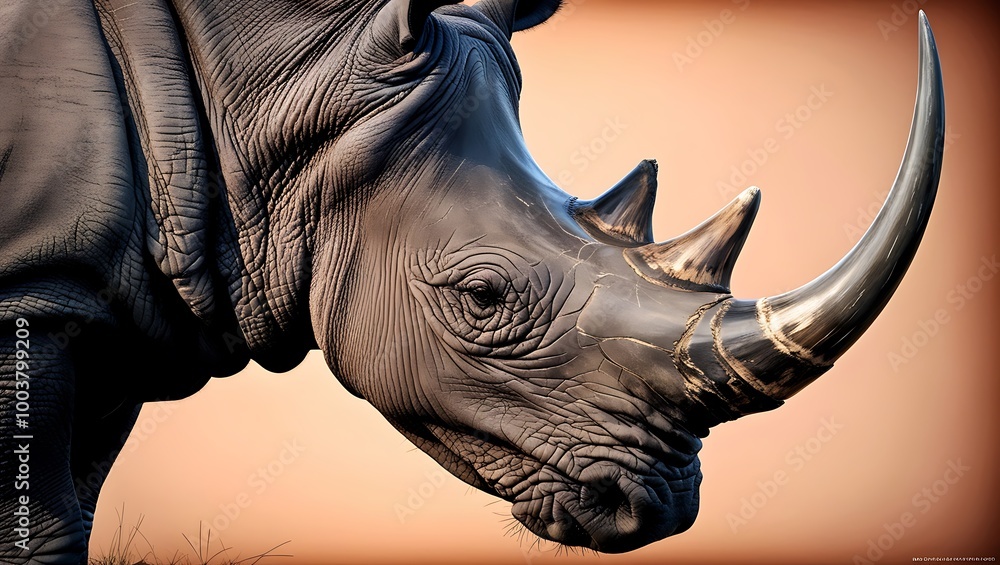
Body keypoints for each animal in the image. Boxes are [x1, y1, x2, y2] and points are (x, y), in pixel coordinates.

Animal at [0, 0, 943, 562]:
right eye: (482, 297)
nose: (665, 507)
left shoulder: (101, 305)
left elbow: (75, 504)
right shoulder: (40, 290)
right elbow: (44, 518)